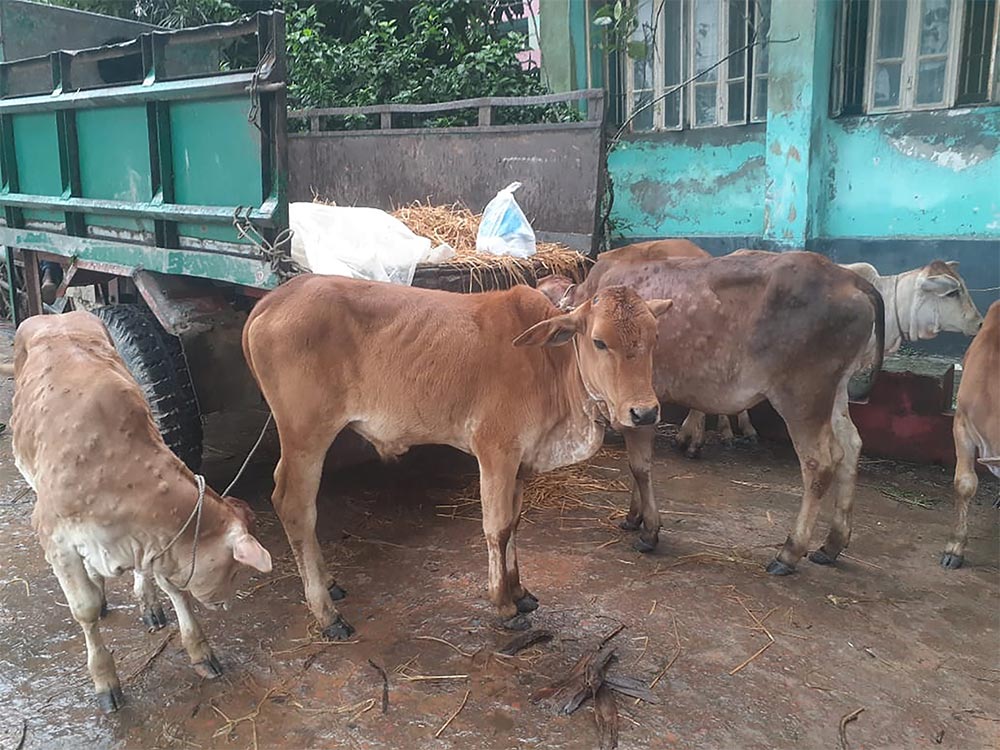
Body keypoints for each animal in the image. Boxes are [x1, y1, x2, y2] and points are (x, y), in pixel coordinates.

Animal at [10, 311, 272, 712]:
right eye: (234, 570)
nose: (226, 604)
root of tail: (57, 314)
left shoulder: (157, 545)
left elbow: (174, 589)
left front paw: (199, 650)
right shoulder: (54, 539)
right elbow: (84, 608)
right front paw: (105, 679)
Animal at [242, 275, 672, 637]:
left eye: (654, 337)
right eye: (599, 341)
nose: (644, 413)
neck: (551, 365)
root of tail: (276, 297)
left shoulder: (520, 463)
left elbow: (514, 524)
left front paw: (520, 591)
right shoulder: (495, 451)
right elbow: (497, 528)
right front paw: (503, 604)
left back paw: (330, 585)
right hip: (306, 435)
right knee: (295, 506)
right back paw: (327, 613)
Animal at [548, 250, 884, 574]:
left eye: (654, 339)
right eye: (599, 341)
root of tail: (849, 278)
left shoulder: (639, 408)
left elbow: (640, 467)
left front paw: (649, 531)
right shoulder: (637, 411)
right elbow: (638, 467)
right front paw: (634, 517)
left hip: (803, 397)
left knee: (820, 463)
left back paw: (789, 553)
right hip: (835, 394)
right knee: (850, 447)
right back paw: (832, 544)